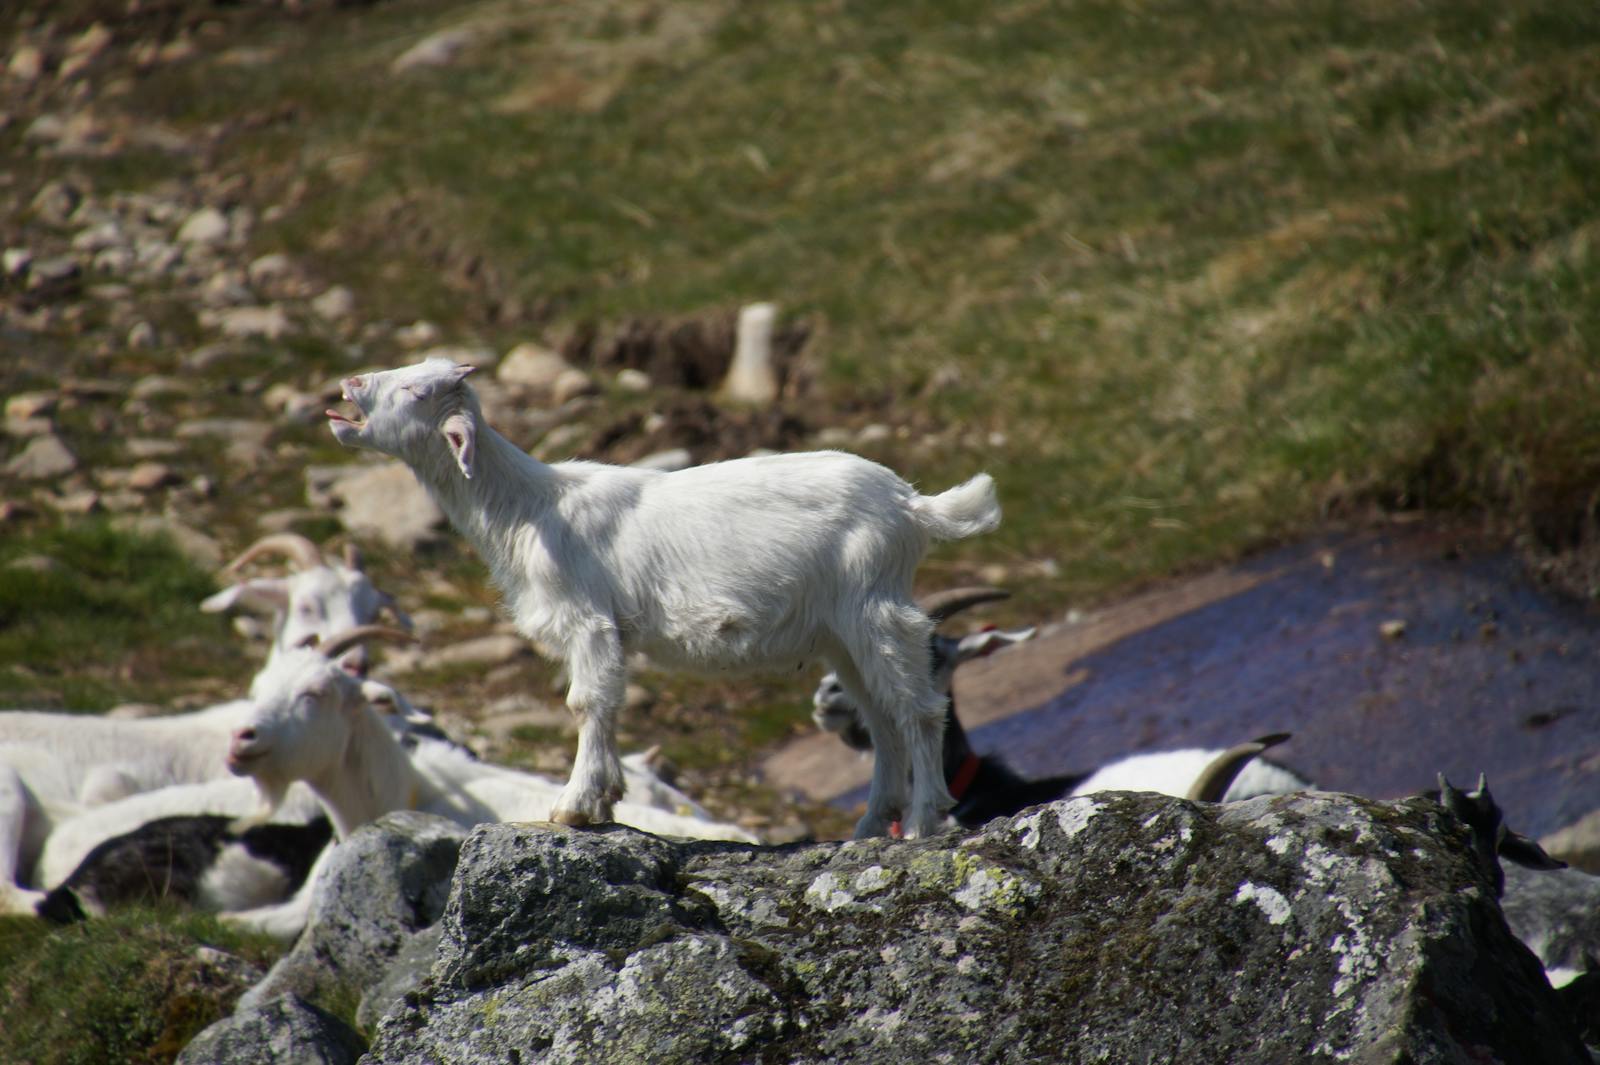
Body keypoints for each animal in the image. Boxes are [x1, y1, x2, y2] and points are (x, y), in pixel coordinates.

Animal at [326, 356, 1001, 838]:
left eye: (418, 391)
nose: (349, 383)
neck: (527, 510)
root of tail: (913, 506)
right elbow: (608, 705)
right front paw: (605, 802)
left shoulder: (588, 621)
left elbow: (586, 703)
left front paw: (574, 807)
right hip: (841, 633)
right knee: (882, 720)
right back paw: (870, 827)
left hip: (876, 608)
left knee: (918, 709)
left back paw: (923, 822)